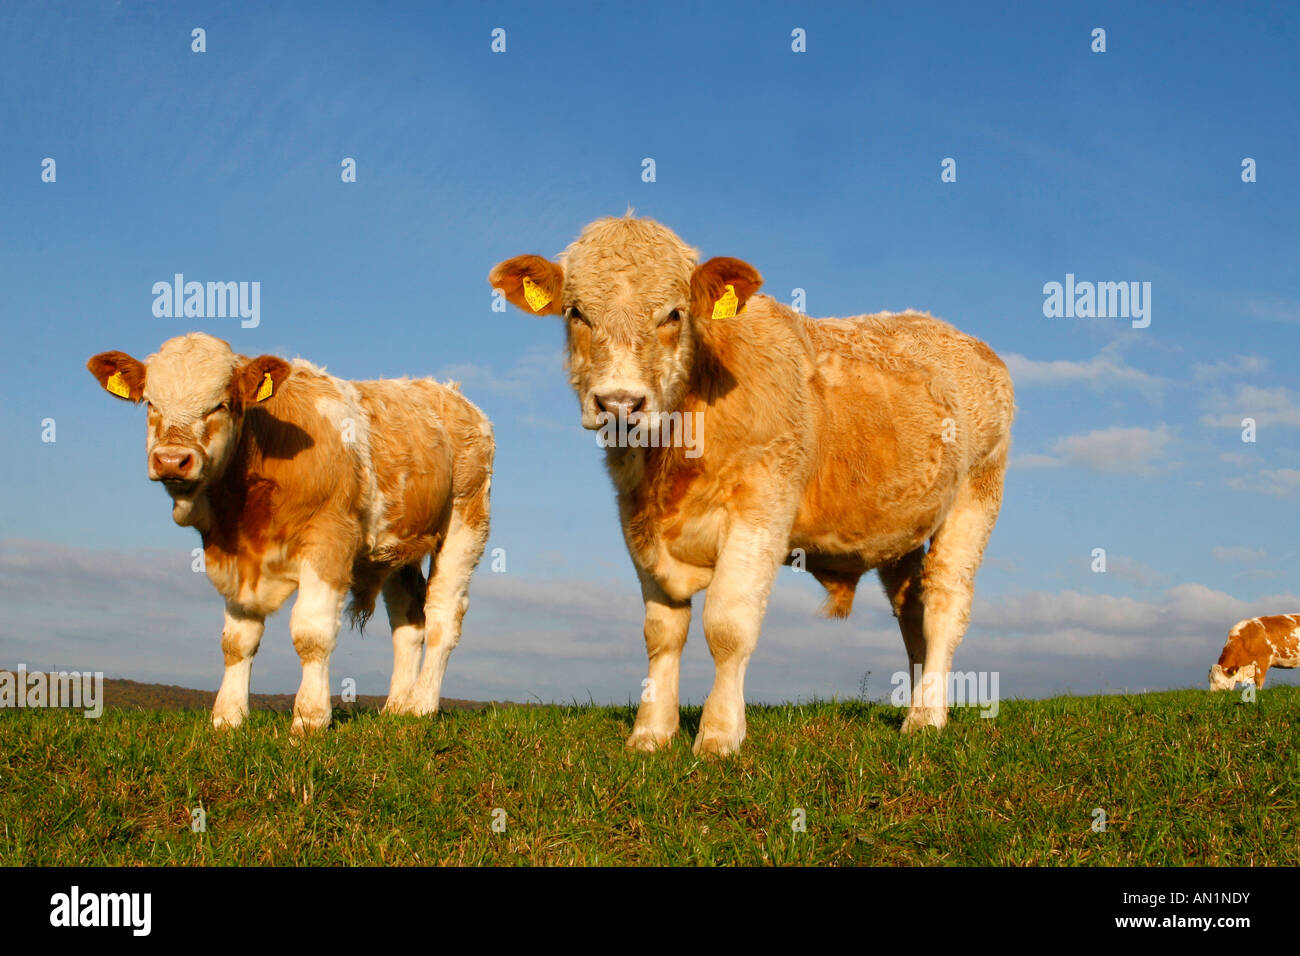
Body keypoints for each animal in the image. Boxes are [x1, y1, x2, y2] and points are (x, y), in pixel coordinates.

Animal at [87, 332, 493, 733]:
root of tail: (449, 393)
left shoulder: (329, 538)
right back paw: (397, 708)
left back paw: (423, 705)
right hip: (398, 545)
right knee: (408, 619)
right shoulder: (236, 560)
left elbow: (312, 633)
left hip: (466, 520)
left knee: (442, 615)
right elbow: (237, 641)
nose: (172, 460)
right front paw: (228, 717)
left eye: (221, 405)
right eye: (151, 404)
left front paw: (310, 718)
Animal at [490, 215, 1014, 755]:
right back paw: (917, 703)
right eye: (576, 313)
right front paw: (650, 734)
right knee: (912, 613)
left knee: (944, 604)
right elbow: (662, 632)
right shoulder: (636, 524)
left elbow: (727, 625)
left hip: (976, 496)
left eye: (674, 314)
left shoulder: (761, 511)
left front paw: (719, 735)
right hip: (900, 530)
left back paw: (927, 717)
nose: (619, 403)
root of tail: (961, 338)